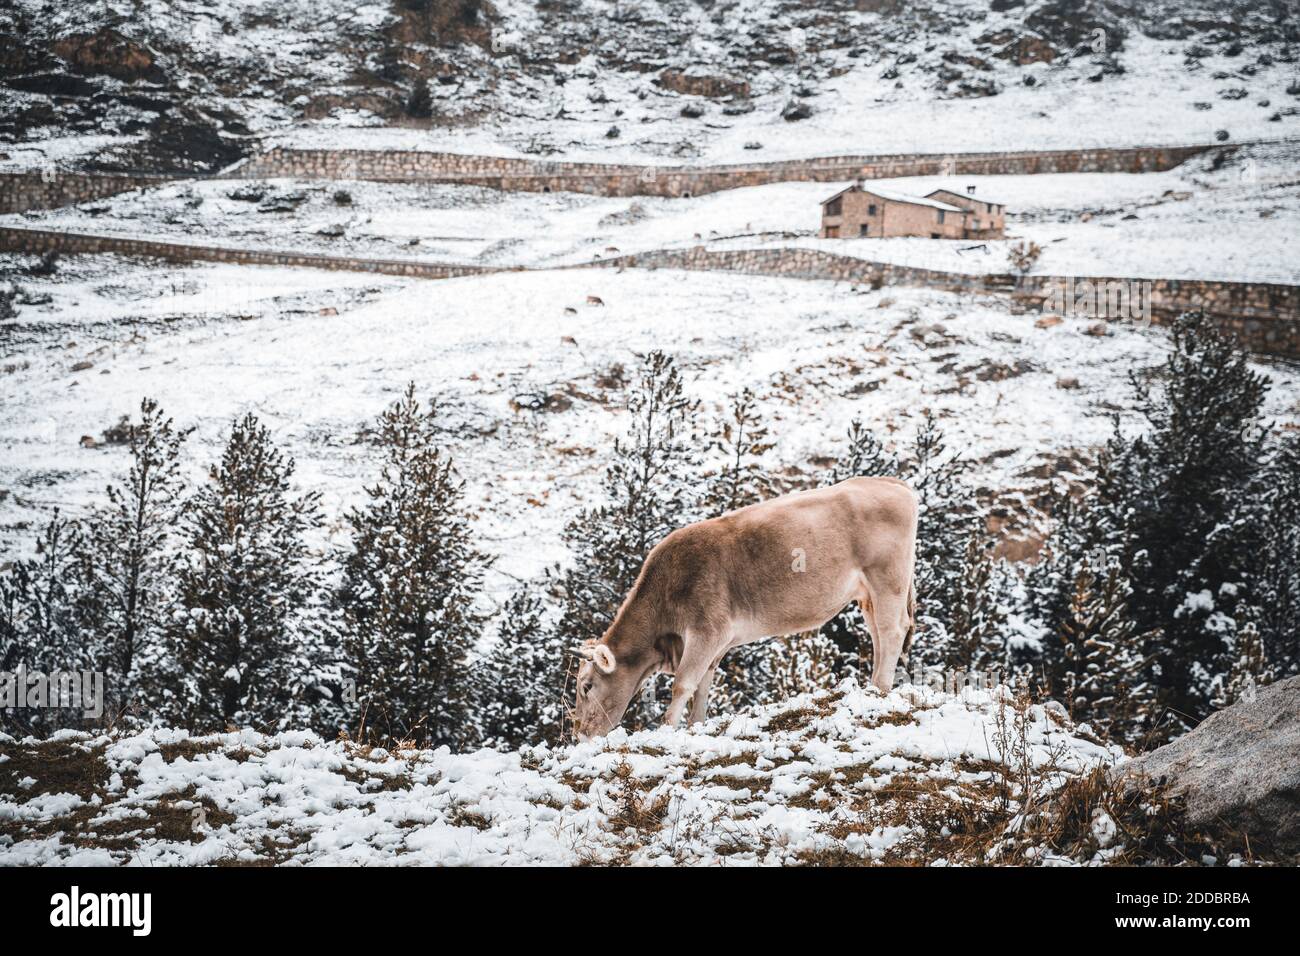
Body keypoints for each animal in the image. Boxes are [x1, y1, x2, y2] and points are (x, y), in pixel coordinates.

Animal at [570, 476, 918, 740]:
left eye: (587, 686)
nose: (579, 735)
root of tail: (891, 483)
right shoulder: (715, 643)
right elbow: (703, 686)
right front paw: (695, 726)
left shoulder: (706, 631)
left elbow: (683, 684)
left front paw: (667, 729)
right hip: (867, 594)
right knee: (878, 635)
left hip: (887, 578)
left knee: (892, 630)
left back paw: (879, 688)